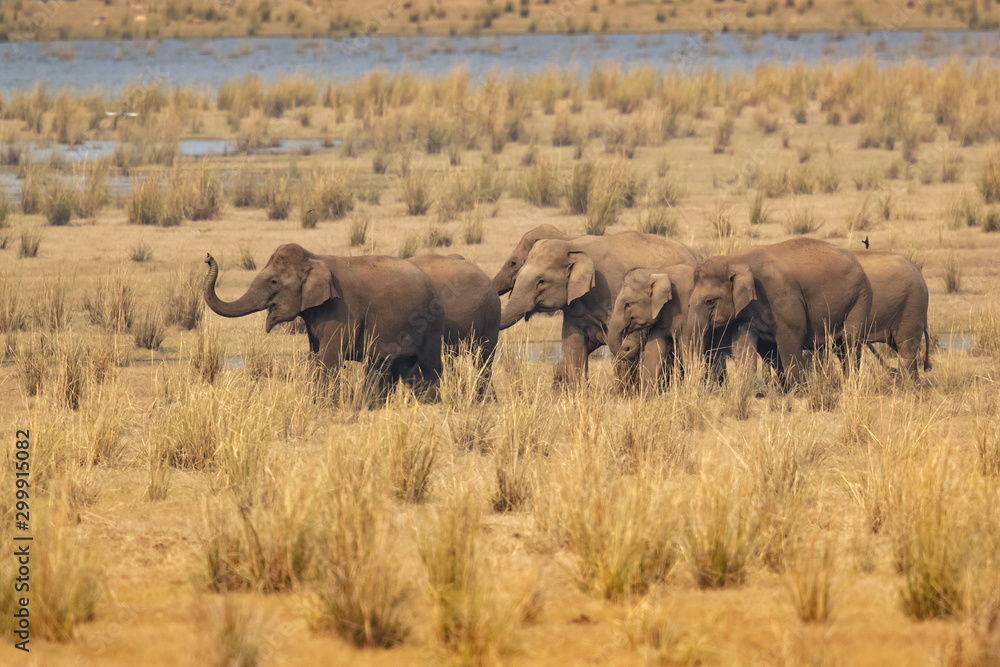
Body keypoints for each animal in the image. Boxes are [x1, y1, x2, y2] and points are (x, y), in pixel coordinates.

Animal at [203, 243, 443, 395]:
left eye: (273, 282)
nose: (207, 257)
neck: (314, 257)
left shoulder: (342, 310)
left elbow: (329, 356)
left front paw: (323, 406)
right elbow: (315, 355)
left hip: (431, 324)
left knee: (429, 365)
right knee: (403, 367)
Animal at [498, 234, 700, 384]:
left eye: (541, 282)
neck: (572, 245)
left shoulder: (611, 293)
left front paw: (625, 398)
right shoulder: (574, 306)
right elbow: (573, 344)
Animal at [685, 238, 873, 386]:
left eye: (709, 301)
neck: (735, 259)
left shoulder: (783, 296)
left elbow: (790, 340)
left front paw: (798, 391)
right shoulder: (745, 313)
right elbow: (745, 346)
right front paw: (748, 390)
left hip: (859, 299)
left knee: (850, 343)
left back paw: (851, 384)